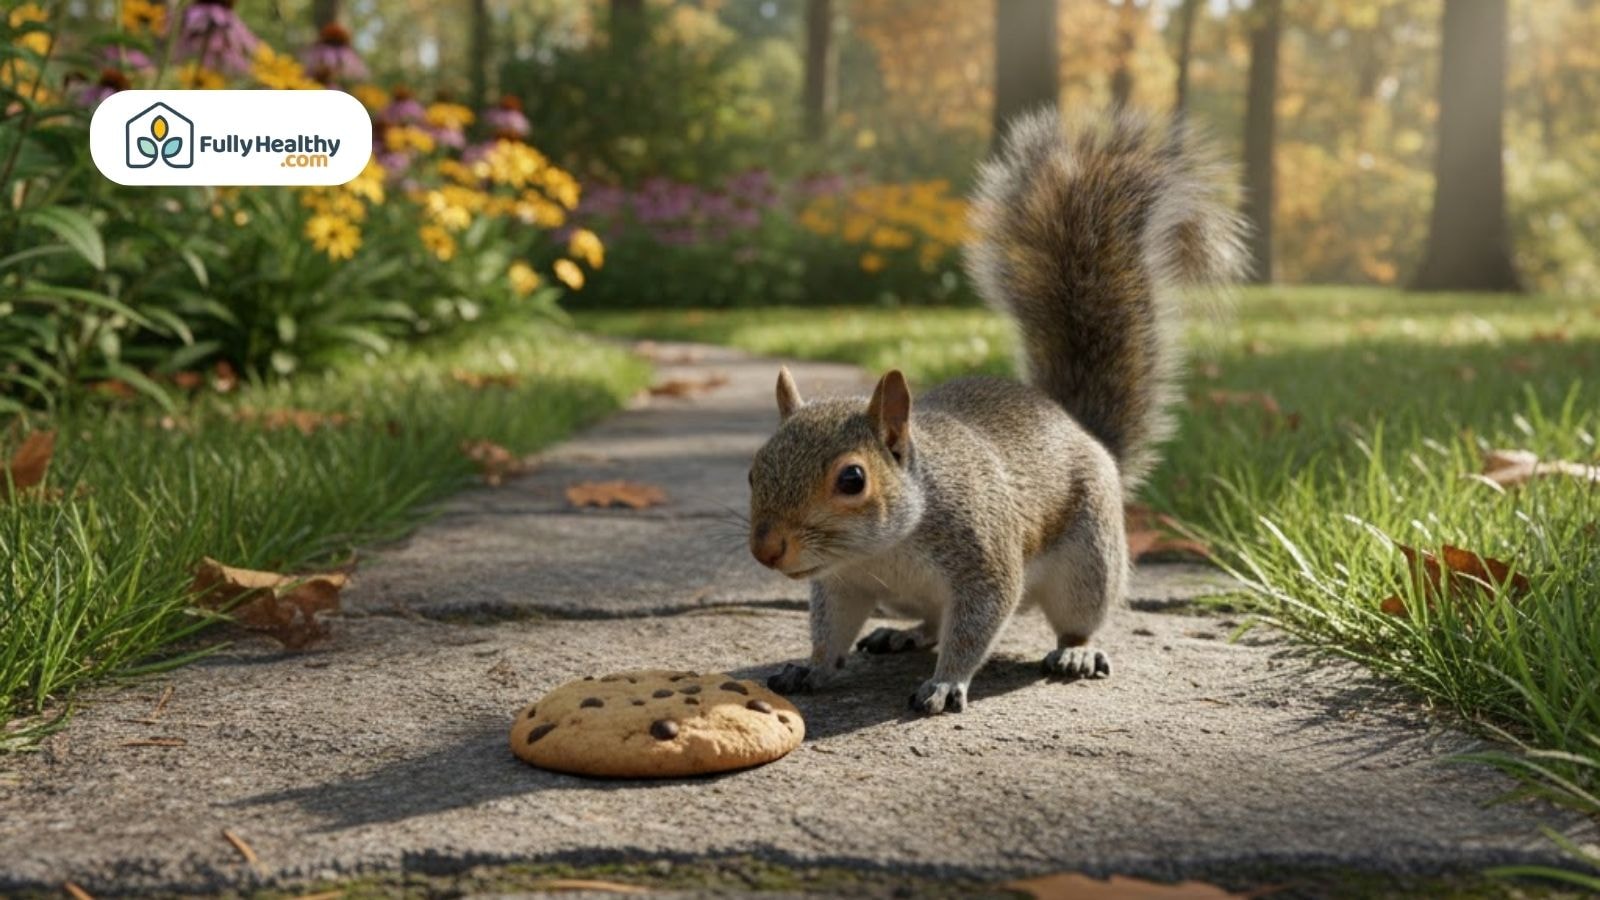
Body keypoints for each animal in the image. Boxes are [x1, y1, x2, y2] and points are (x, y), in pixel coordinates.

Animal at [748, 109, 1246, 714]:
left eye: (852, 479)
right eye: (753, 471)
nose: (766, 549)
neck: (886, 549)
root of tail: (1084, 433)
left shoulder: (984, 558)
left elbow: (976, 624)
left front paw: (945, 683)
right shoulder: (844, 583)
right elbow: (831, 631)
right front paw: (812, 667)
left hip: (1090, 562)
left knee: (1076, 617)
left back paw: (1076, 652)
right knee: (931, 621)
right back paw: (902, 633)